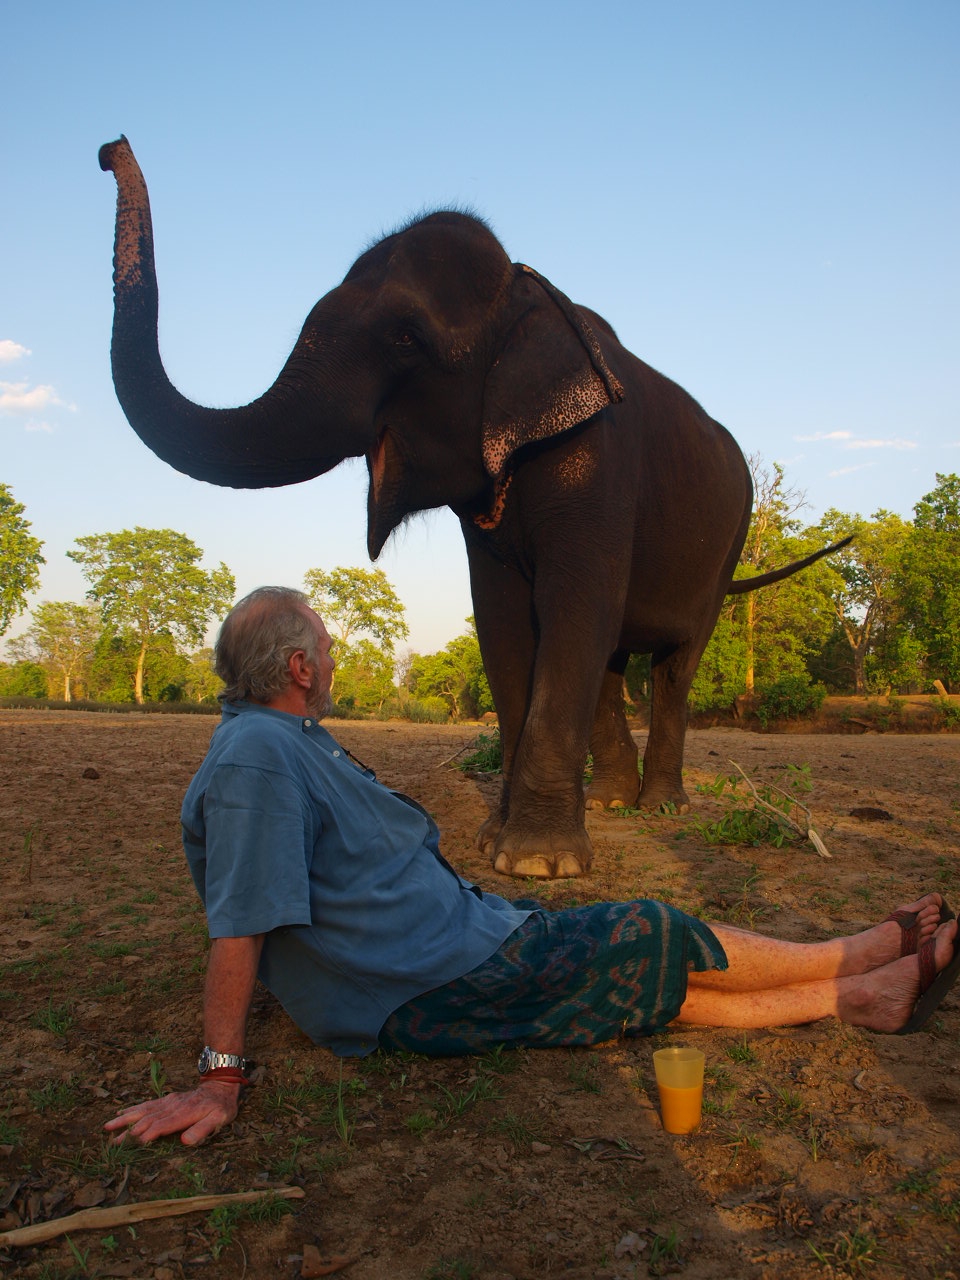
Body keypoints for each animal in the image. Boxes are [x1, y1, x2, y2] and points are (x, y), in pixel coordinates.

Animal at [99, 136, 847, 879]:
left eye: (405, 340)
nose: (111, 149)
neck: (527, 293)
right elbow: (503, 620)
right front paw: (498, 844)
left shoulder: (599, 453)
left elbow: (575, 608)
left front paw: (539, 864)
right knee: (613, 664)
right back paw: (612, 803)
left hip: (728, 543)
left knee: (675, 665)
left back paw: (662, 806)